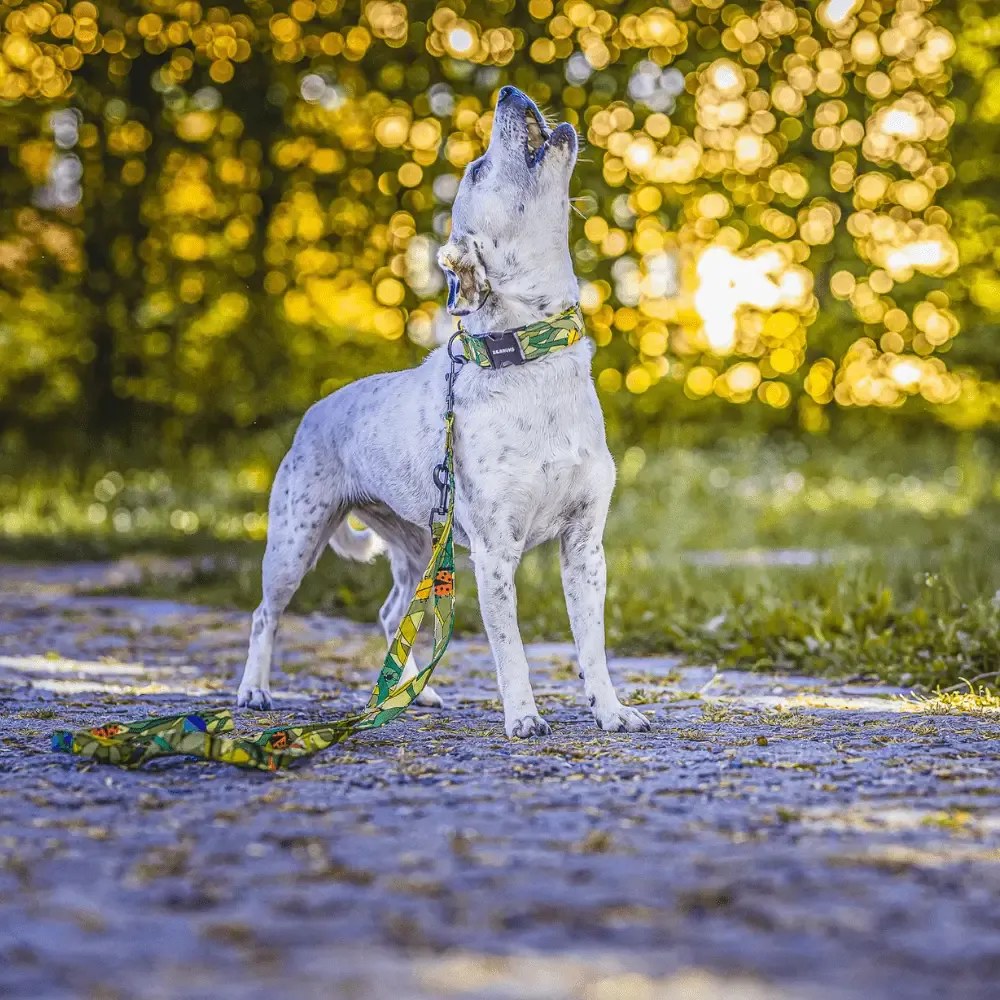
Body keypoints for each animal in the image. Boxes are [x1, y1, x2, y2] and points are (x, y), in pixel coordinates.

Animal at [238, 86, 652, 740]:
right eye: (478, 169)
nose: (508, 91)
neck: (529, 357)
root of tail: (316, 411)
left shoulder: (586, 547)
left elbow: (592, 643)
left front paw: (610, 710)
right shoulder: (495, 554)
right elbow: (510, 648)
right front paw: (524, 716)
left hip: (419, 550)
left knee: (391, 616)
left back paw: (414, 693)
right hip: (295, 541)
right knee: (264, 613)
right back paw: (254, 690)